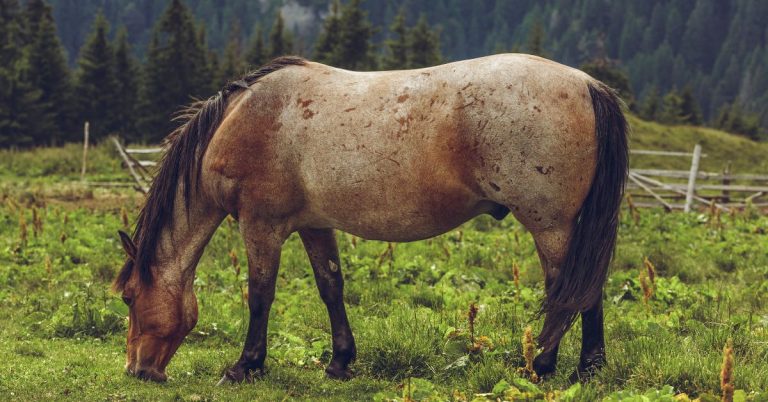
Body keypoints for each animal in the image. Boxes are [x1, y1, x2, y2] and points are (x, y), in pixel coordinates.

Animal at [113, 54, 628, 384]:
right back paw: (589, 368)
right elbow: (331, 287)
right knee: (585, 290)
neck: (245, 120)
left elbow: (259, 295)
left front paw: (246, 366)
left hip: (550, 225)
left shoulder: (261, 226)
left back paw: (542, 366)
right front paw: (340, 362)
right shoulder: (314, 224)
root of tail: (586, 83)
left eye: (128, 298)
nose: (138, 370)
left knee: (565, 291)